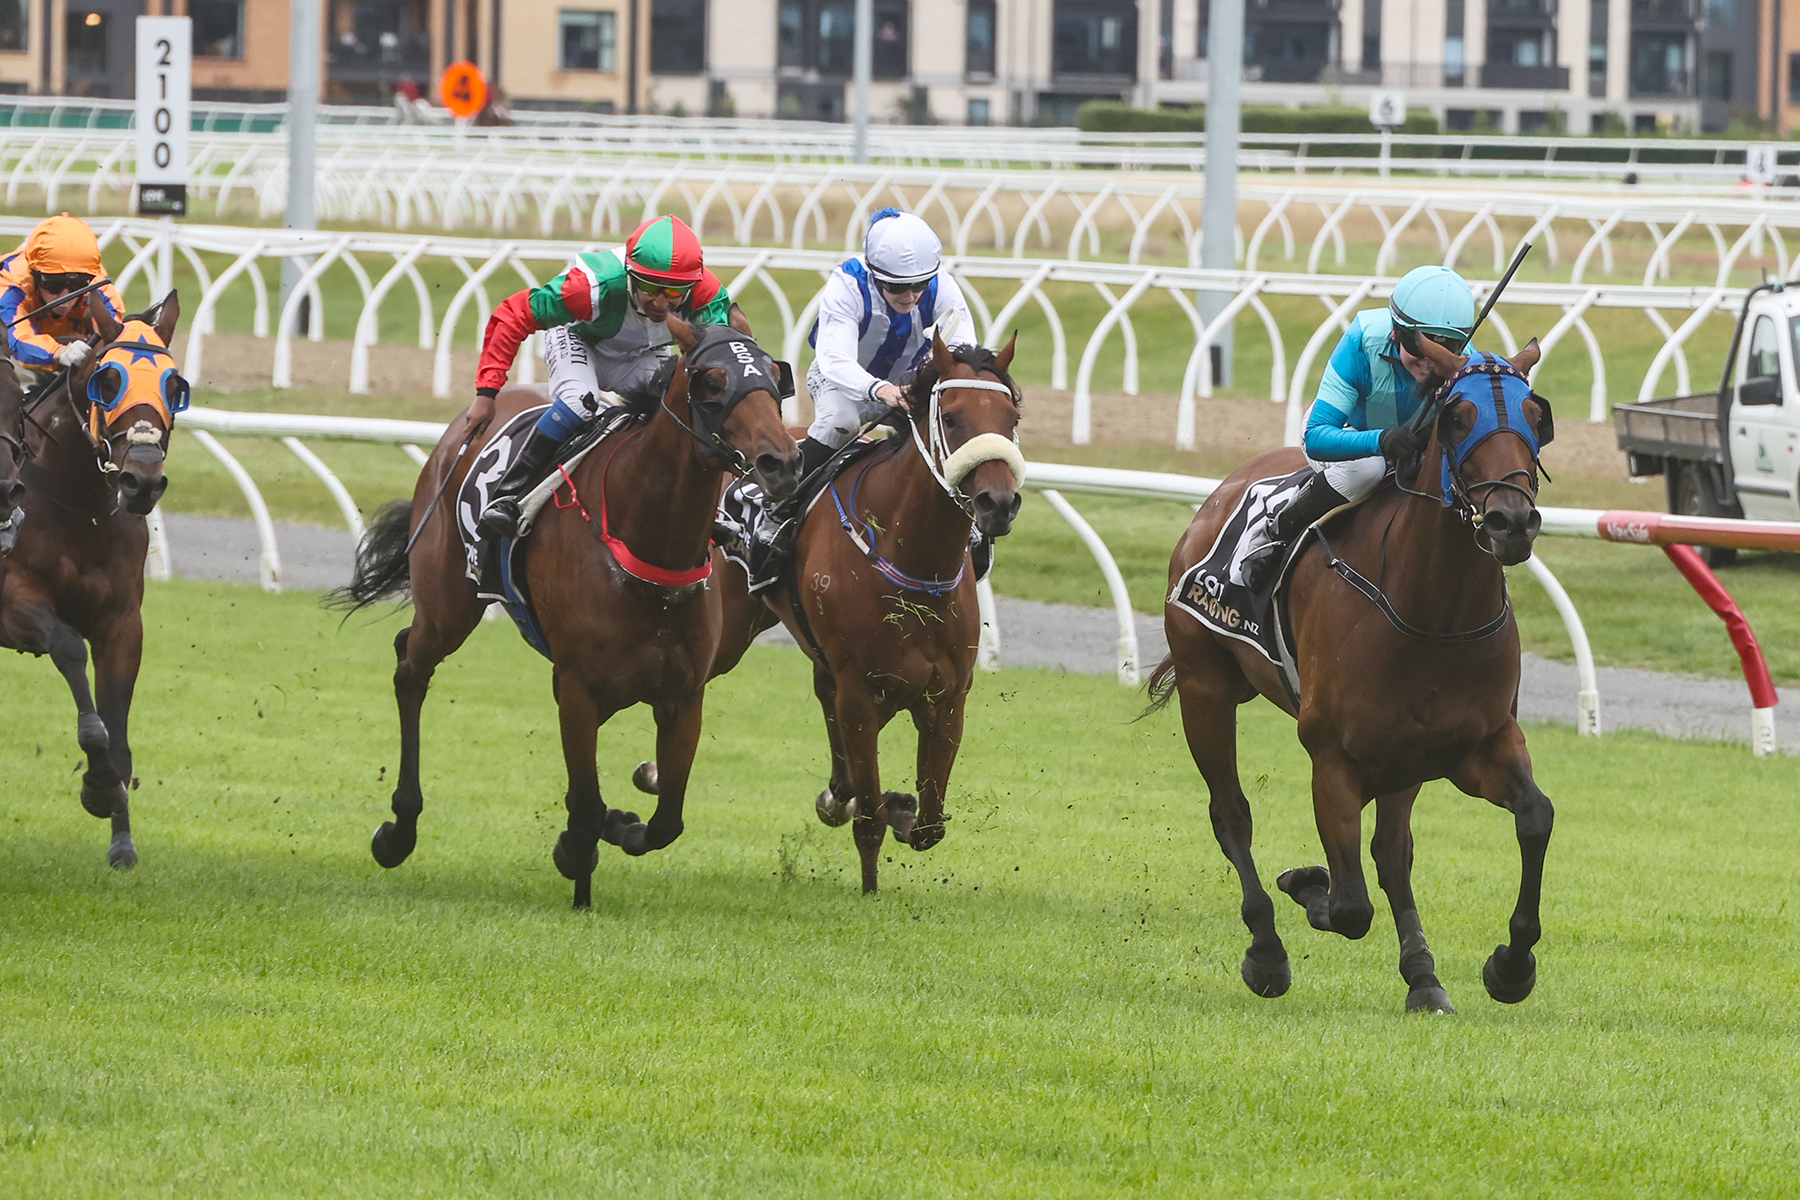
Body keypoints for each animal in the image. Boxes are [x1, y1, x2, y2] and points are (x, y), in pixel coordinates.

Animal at [0, 292, 186, 869]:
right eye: (107, 380)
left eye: (175, 385)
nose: (143, 480)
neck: (75, 503)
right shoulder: (12, 603)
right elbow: (68, 649)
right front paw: (99, 786)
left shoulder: (122, 622)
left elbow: (118, 726)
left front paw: (122, 838)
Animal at [334, 317, 802, 909]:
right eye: (712, 383)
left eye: (773, 376)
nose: (782, 464)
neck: (647, 541)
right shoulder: (577, 688)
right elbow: (584, 804)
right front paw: (577, 859)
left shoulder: (683, 695)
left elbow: (665, 819)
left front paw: (619, 825)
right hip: (447, 606)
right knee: (410, 669)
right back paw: (399, 829)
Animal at [646, 335, 1023, 894]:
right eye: (952, 417)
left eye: (1012, 416)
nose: (998, 502)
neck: (913, 560)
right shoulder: (861, 694)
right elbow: (870, 816)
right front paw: (870, 884)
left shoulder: (948, 697)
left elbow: (929, 824)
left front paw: (898, 807)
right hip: (730, 631)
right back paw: (654, 772)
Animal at [1147, 338, 1554, 1013]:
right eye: (1457, 417)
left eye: (1535, 416)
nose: (1511, 522)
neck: (1432, 612)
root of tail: (1221, 493)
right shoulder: (1333, 758)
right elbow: (1348, 906)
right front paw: (1305, 883)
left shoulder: (1474, 745)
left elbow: (1534, 817)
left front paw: (1510, 965)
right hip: (1205, 688)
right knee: (1231, 815)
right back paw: (1267, 951)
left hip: (1403, 759)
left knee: (1391, 853)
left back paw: (1423, 976)